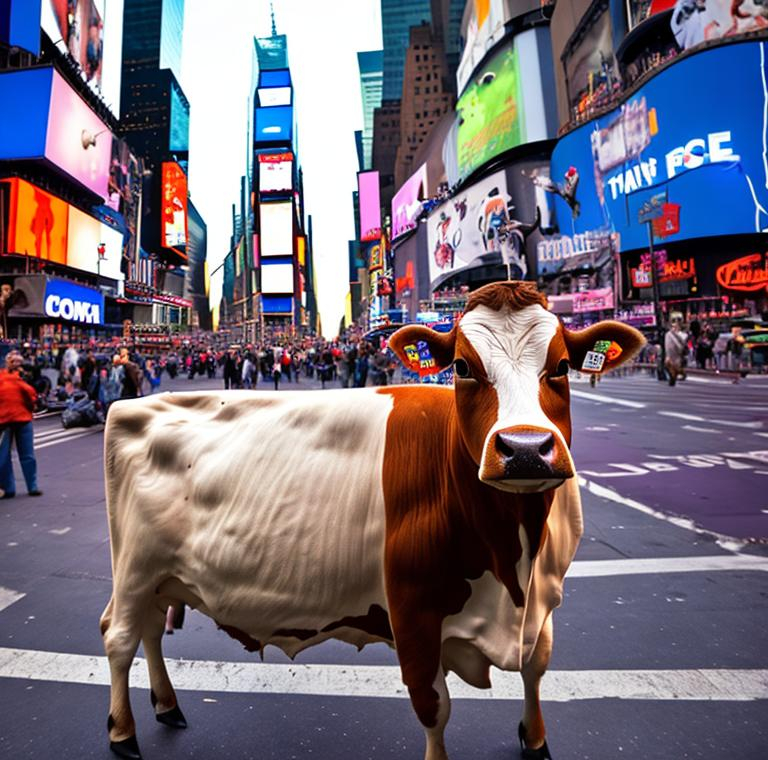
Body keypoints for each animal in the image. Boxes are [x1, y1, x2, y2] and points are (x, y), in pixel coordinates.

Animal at [100, 281, 644, 760]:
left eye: (563, 365)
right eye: (462, 366)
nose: (526, 449)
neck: (511, 564)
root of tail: (133, 404)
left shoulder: (545, 600)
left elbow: (536, 669)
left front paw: (535, 740)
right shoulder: (411, 608)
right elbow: (433, 707)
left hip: (161, 576)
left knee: (150, 627)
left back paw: (167, 705)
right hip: (134, 567)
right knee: (119, 636)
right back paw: (123, 734)